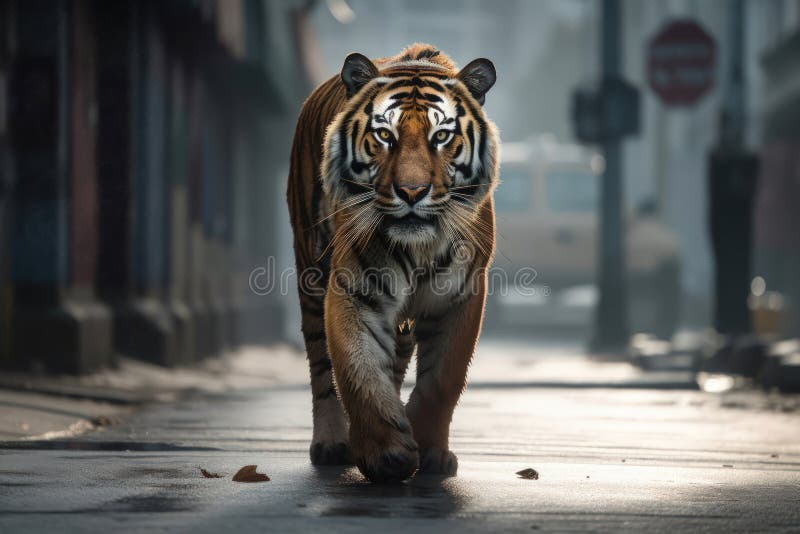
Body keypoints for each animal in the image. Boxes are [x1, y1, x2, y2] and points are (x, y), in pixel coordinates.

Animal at [286, 43, 499, 482]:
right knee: (321, 367)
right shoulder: (354, 289)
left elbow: (442, 379)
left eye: (441, 136)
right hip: (310, 273)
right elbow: (360, 368)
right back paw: (331, 443)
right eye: (385, 135)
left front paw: (430, 450)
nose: (412, 192)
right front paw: (387, 454)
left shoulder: (462, 295)